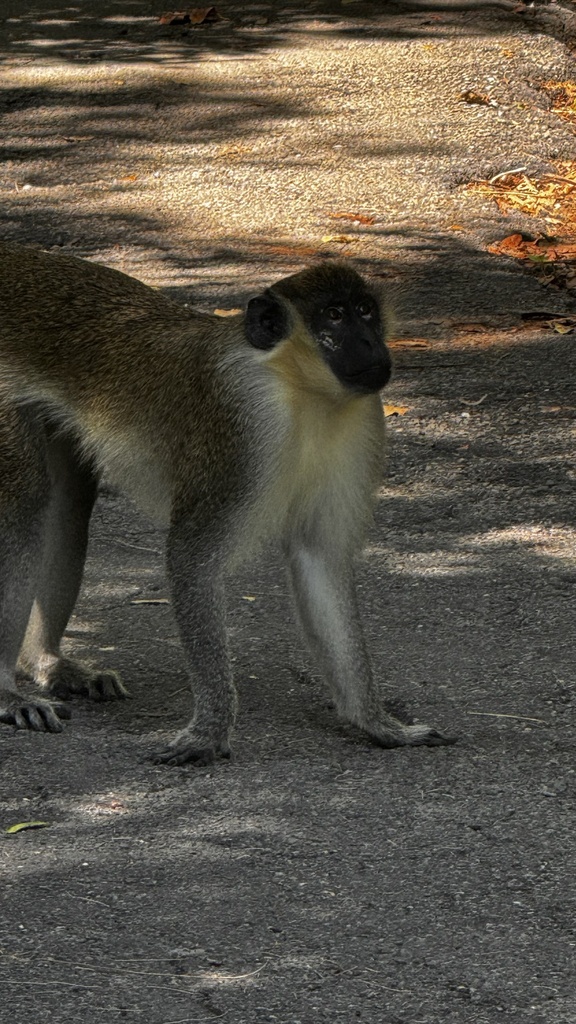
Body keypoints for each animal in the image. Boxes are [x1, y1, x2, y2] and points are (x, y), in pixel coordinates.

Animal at [0, 243, 452, 763]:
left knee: (67, 506)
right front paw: (211, 732)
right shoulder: (243, 426)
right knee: (25, 505)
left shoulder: (362, 420)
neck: (297, 390)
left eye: (365, 311)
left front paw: (378, 724)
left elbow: (318, 557)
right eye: (334, 317)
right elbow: (192, 557)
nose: (370, 345)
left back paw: (45, 663)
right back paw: (7, 694)